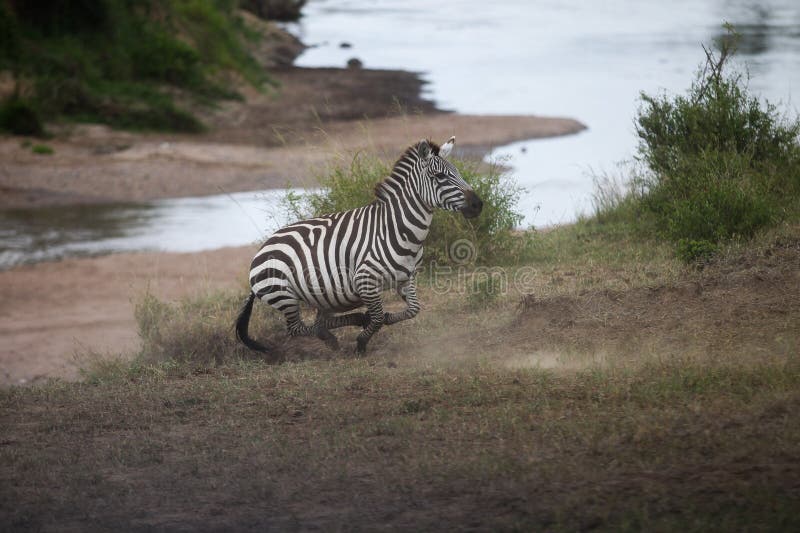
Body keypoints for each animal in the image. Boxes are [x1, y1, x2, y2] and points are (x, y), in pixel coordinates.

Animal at [235, 136, 483, 355]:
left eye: (458, 173)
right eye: (439, 176)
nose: (478, 204)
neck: (398, 231)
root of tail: (262, 248)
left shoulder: (407, 278)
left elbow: (413, 310)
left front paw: (384, 320)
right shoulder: (365, 281)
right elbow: (377, 318)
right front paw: (362, 343)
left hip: (320, 296)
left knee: (319, 321)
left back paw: (343, 328)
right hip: (283, 294)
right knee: (297, 328)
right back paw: (340, 330)